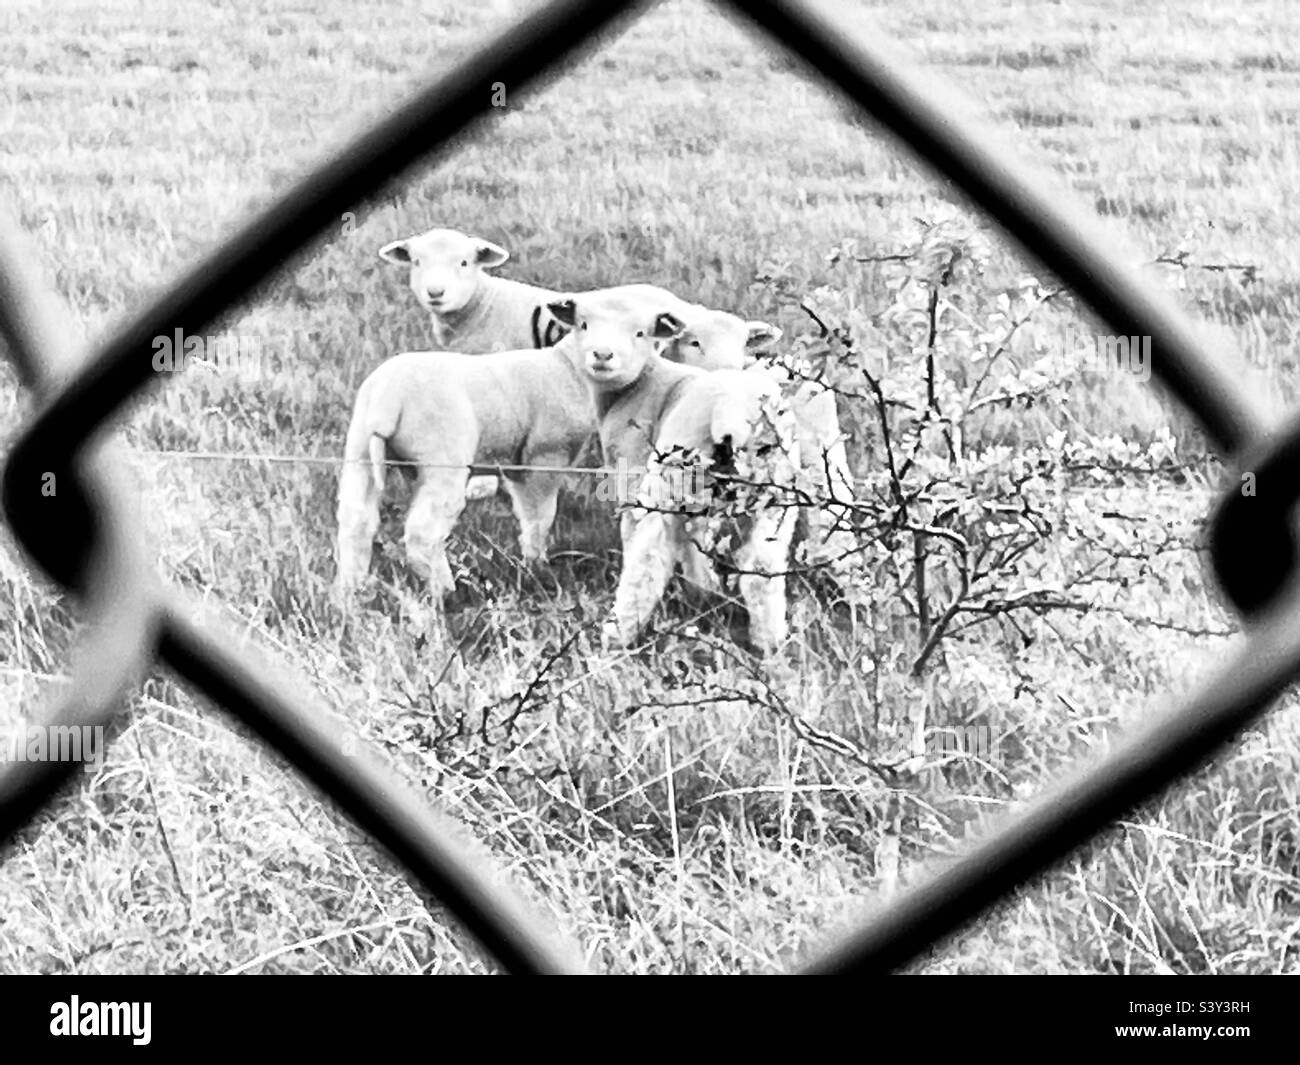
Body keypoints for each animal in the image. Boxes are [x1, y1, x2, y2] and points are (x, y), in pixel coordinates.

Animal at [550, 288, 801, 653]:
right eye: (583, 324)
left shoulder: (631, 466)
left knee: (648, 562)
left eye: (640, 333)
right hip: (776, 487)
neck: (643, 383)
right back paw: (769, 641)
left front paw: (700, 590)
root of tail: (732, 408)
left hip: (670, 479)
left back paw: (617, 634)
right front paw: (705, 590)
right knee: (761, 564)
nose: (603, 355)